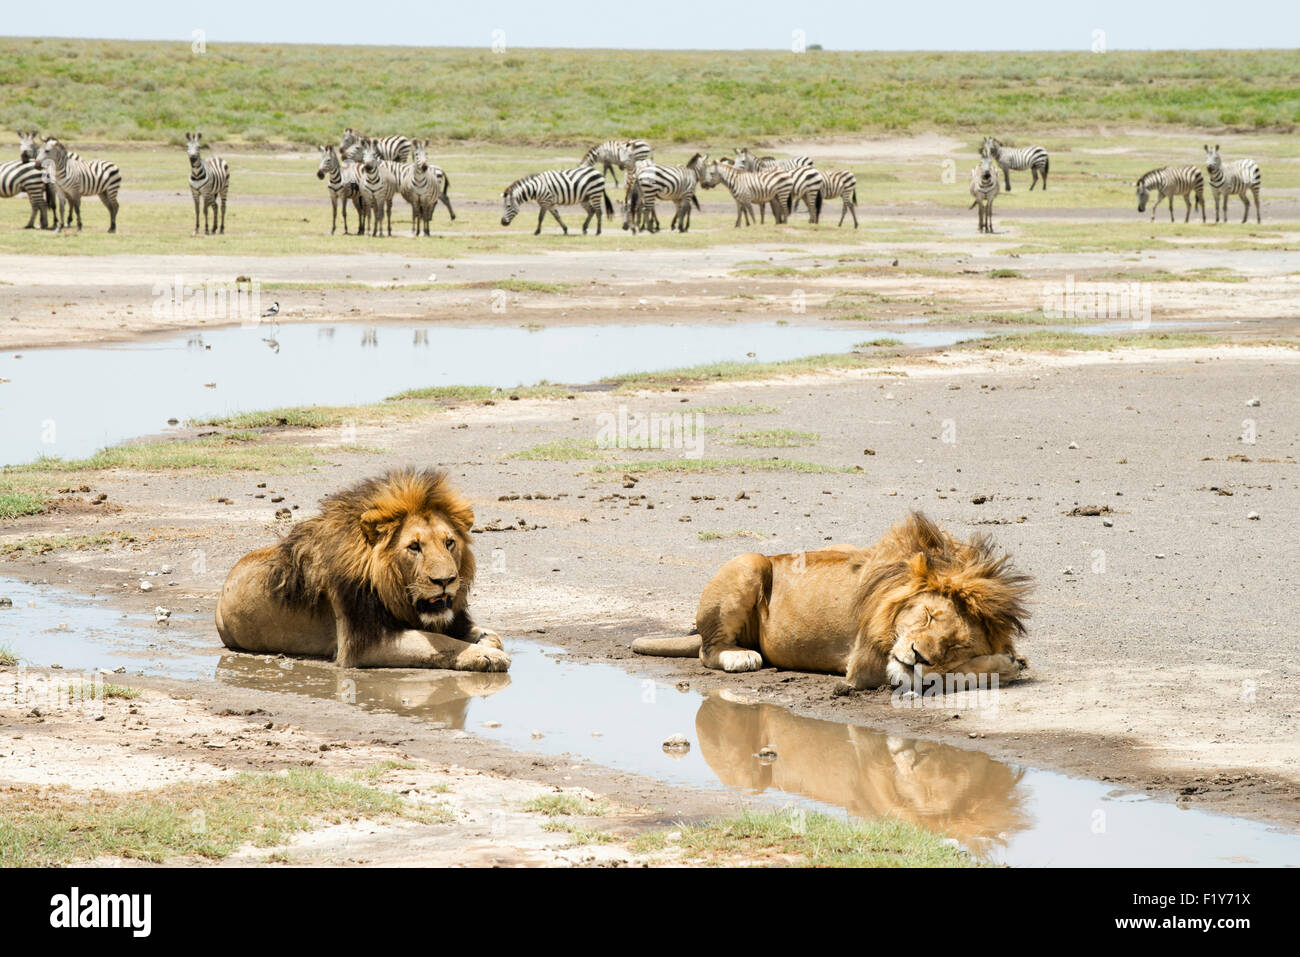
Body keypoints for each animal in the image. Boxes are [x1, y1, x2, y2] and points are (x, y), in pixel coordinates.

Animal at [215, 468, 510, 671]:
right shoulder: (362, 644)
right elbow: (440, 643)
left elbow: (492, 636)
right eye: (414, 547)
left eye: (449, 543)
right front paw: (485, 656)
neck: (392, 591)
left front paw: (485, 644)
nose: (445, 580)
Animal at [632, 511, 1030, 689]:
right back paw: (740, 657)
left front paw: (1011, 662)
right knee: (708, 650)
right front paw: (1007, 663)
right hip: (749, 562)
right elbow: (951, 673)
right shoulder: (866, 663)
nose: (918, 654)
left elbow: (954, 670)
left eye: (955, 646)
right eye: (929, 616)